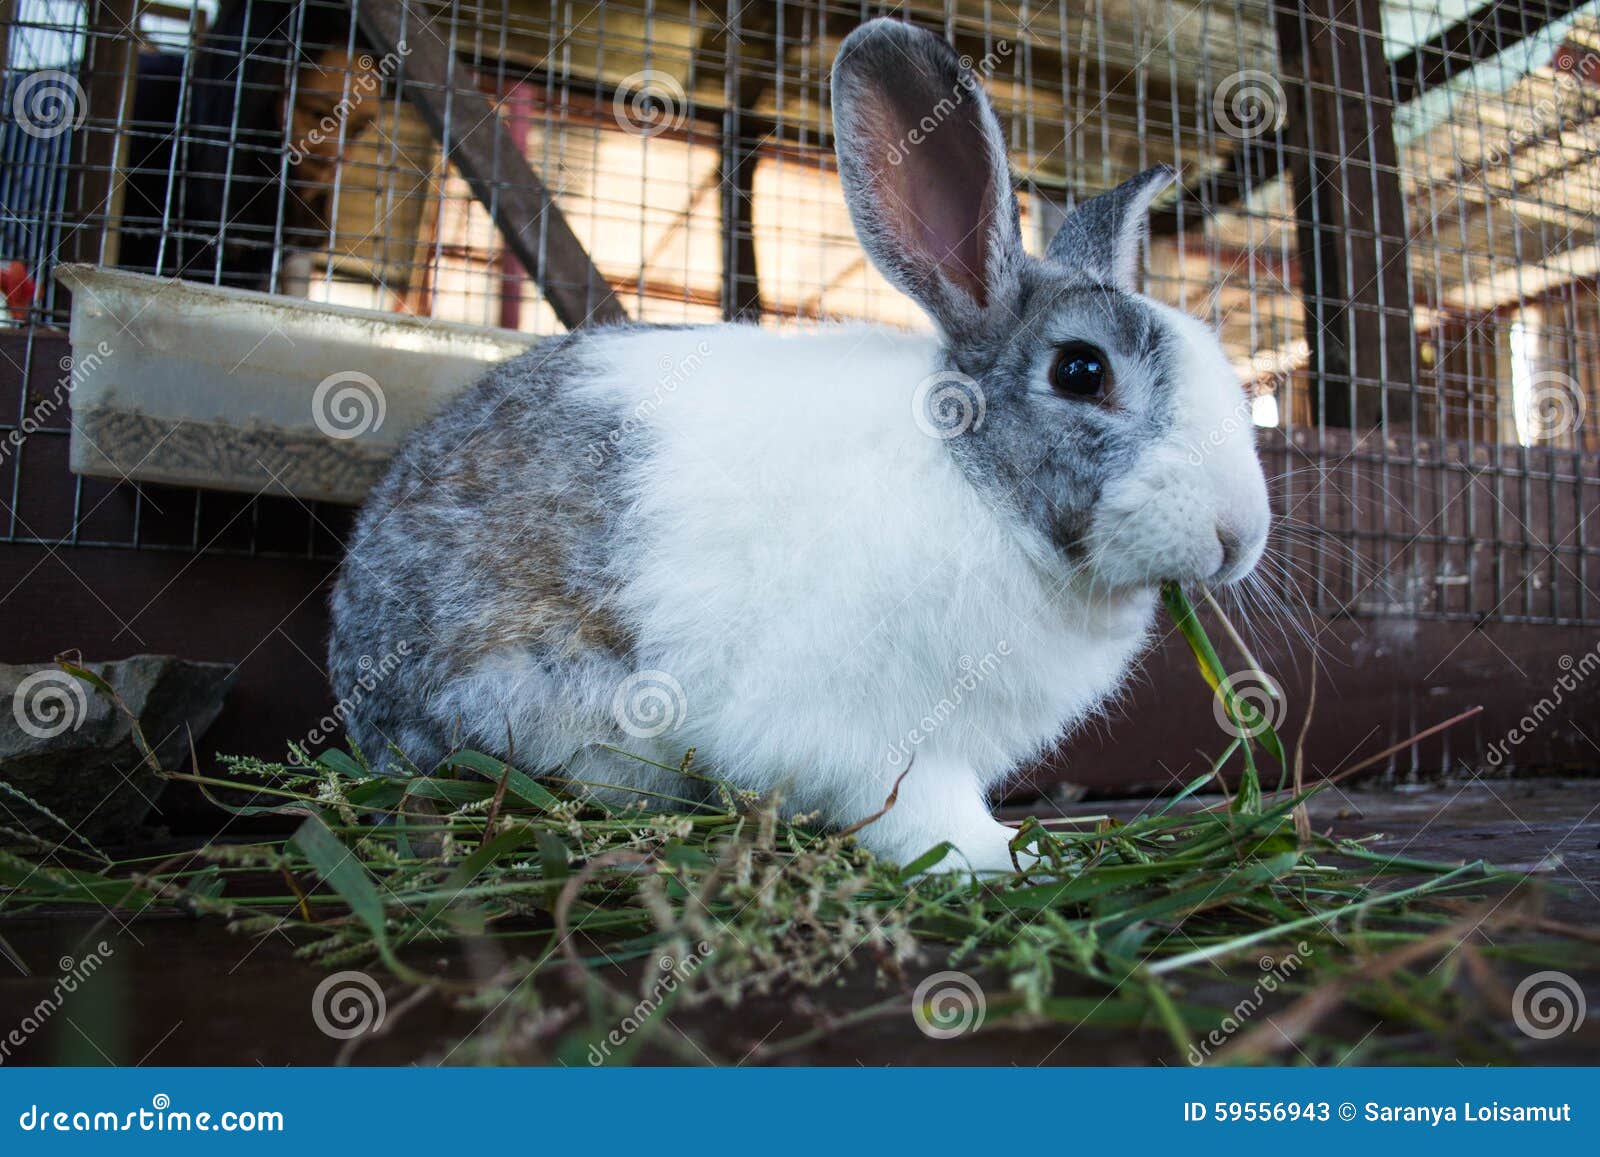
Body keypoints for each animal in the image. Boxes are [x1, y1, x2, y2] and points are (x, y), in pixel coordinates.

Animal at [327, 17, 1271, 873]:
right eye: (1081, 370)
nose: (1239, 537)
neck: (977, 486)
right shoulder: (885, 736)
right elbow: (921, 809)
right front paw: (1003, 856)